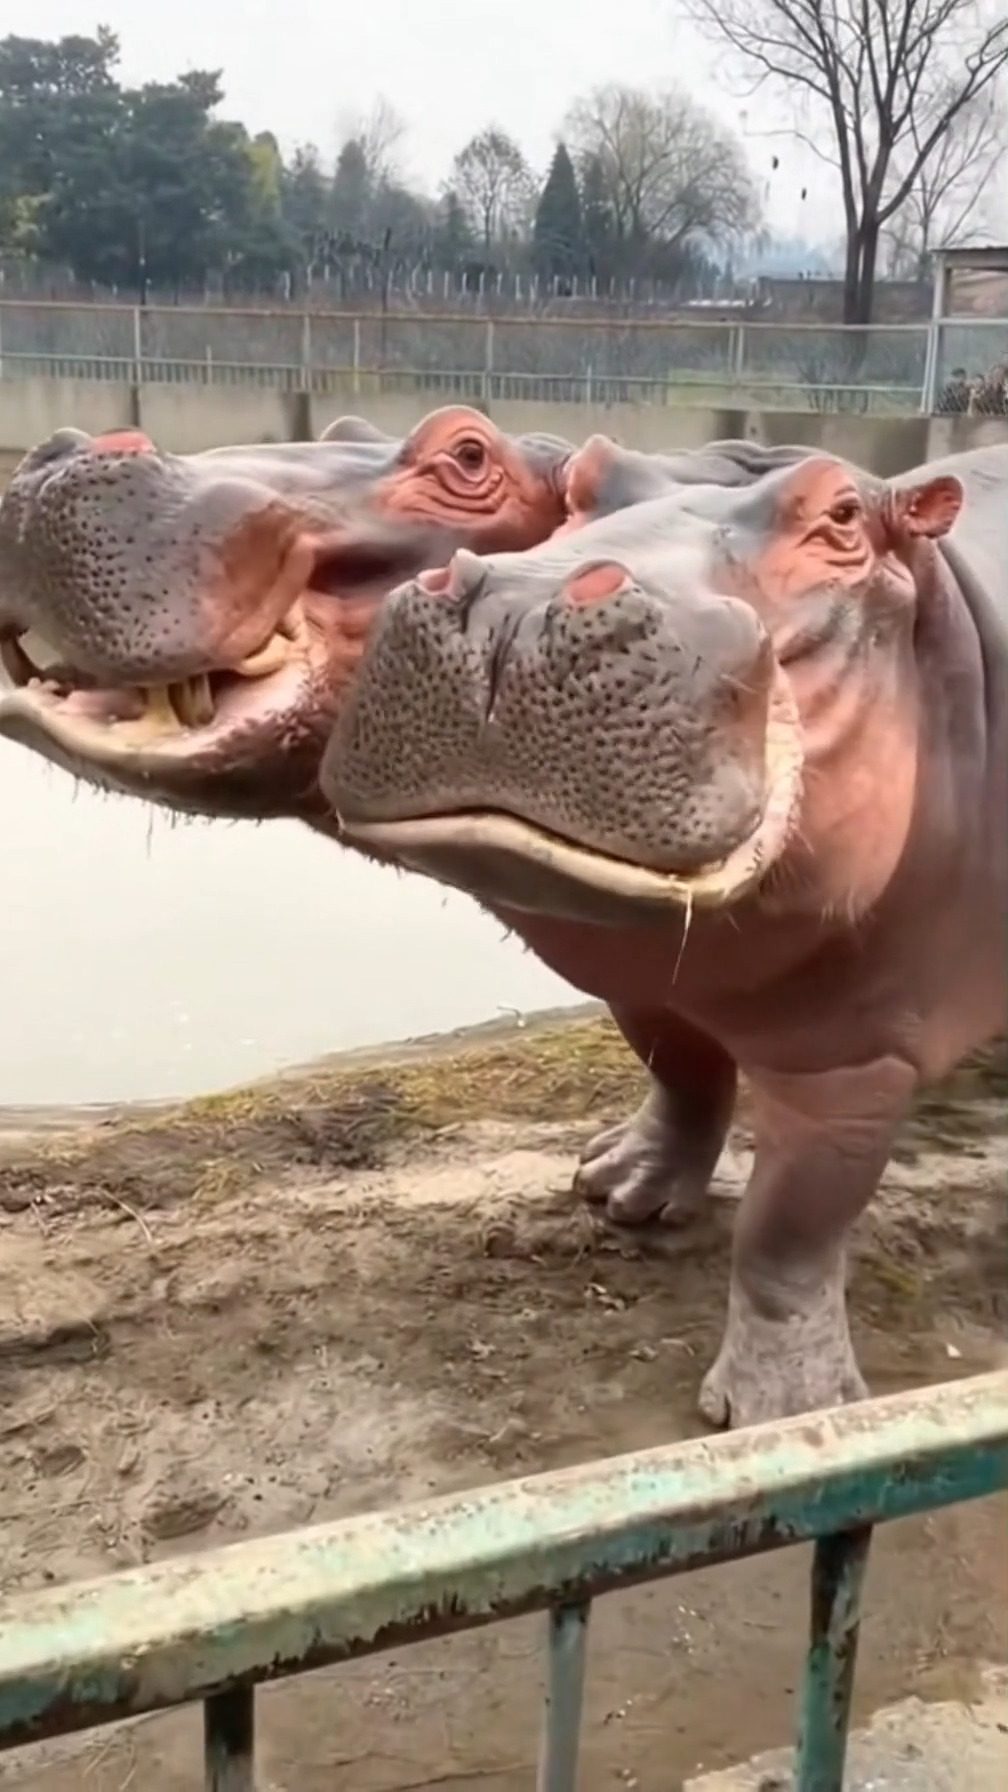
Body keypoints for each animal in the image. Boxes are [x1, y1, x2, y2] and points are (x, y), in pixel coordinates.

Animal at [323, 437, 1008, 1428]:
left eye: (842, 515)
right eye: (582, 478)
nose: (515, 605)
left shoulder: (851, 1059)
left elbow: (789, 1230)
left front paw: (783, 1410)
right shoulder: (645, 983)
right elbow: (682, 1078)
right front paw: (619, 1190)